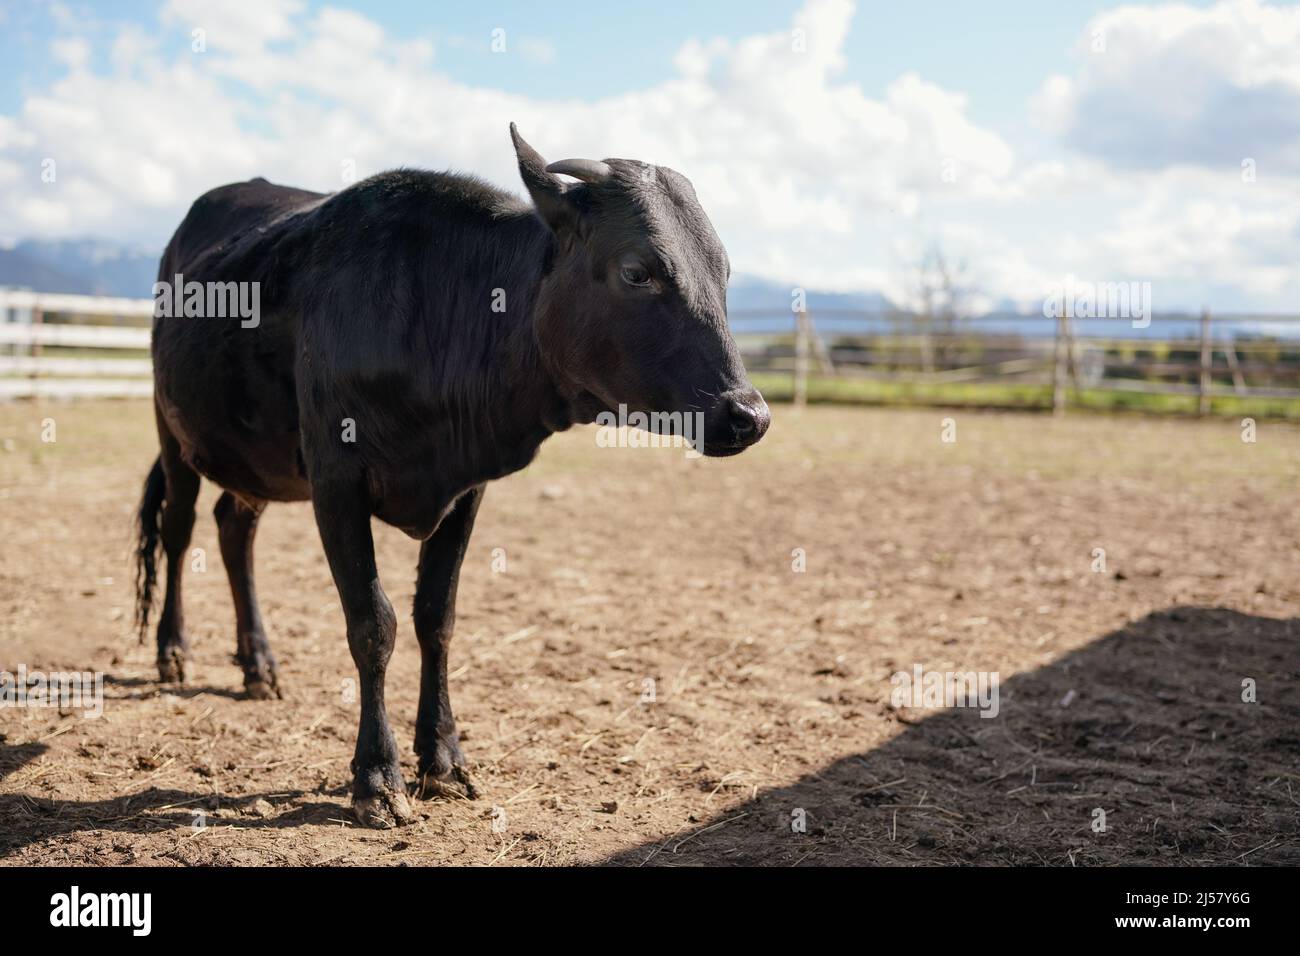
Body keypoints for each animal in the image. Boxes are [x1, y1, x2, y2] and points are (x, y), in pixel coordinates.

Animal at [133, 125, 770, 827]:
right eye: (637, 270)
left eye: (722, 271)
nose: (748, 413)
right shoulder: (336, 479)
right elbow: (372, 624)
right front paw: (376, 776)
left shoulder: (466, 490)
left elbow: (436, 617)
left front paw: (441, 757)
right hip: (171, 428)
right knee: (180, 529)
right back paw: (172, 651)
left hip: (252, 459)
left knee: (233, 531)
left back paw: (258, 663)